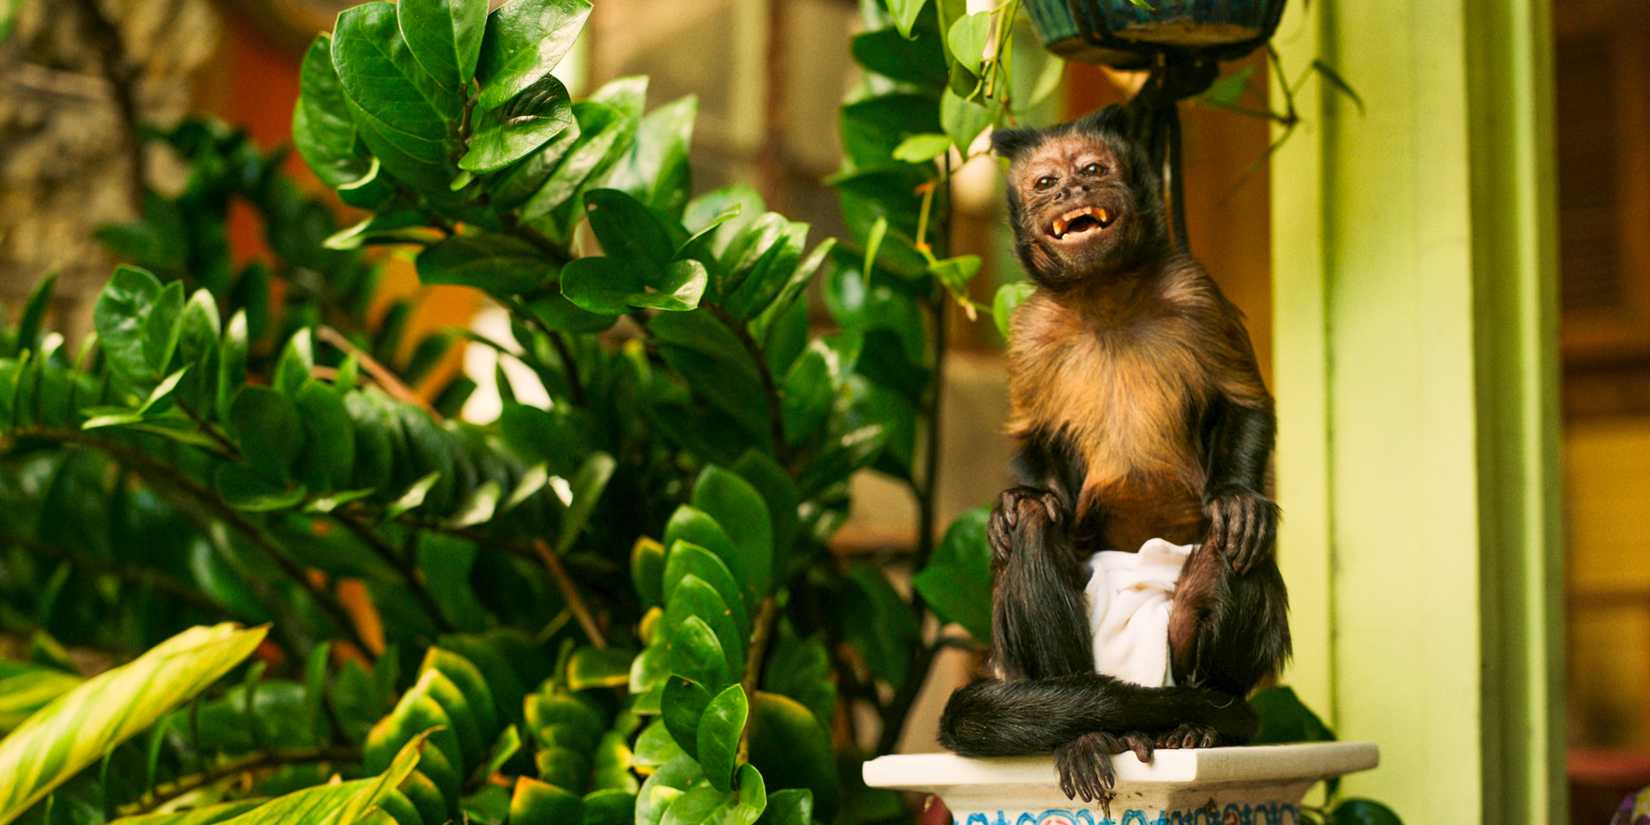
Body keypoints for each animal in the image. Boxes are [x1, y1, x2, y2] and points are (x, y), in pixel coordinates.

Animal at [937, 106, 1290, 807]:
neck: (1103, 295)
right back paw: (1086, 731)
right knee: (1039, 530)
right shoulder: (1029, 329)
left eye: (1094, 169)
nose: (1074, 191)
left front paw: (1239, 497)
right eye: (1047, 183)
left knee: (1230, 545)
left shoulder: (1195, 289)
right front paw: (1011, 503)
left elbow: (1245, 404)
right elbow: (1030, 446)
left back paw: (1206, 717)